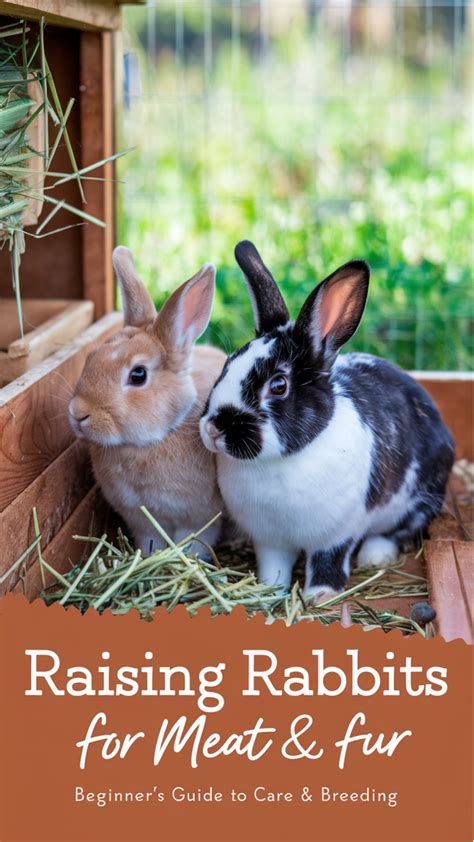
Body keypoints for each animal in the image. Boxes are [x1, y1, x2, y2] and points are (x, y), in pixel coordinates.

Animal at [69, 246, 226, 557]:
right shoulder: (142, 519)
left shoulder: (200, 518)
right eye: (91, 357)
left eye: (138, 374)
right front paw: (150, 556)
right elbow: (150, 541)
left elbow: (193, 544)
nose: (78, 414)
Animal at [200, 240, 455, 603]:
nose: (213, 429)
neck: (280, 462)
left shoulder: (338, 533)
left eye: (278, 385)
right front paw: (269, 589)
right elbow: (274, 565)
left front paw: (320, 595)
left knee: (395, 532)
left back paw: (375, 555)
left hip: (418, 500)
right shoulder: (269, 539)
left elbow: (328, 560)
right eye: (228, 364)